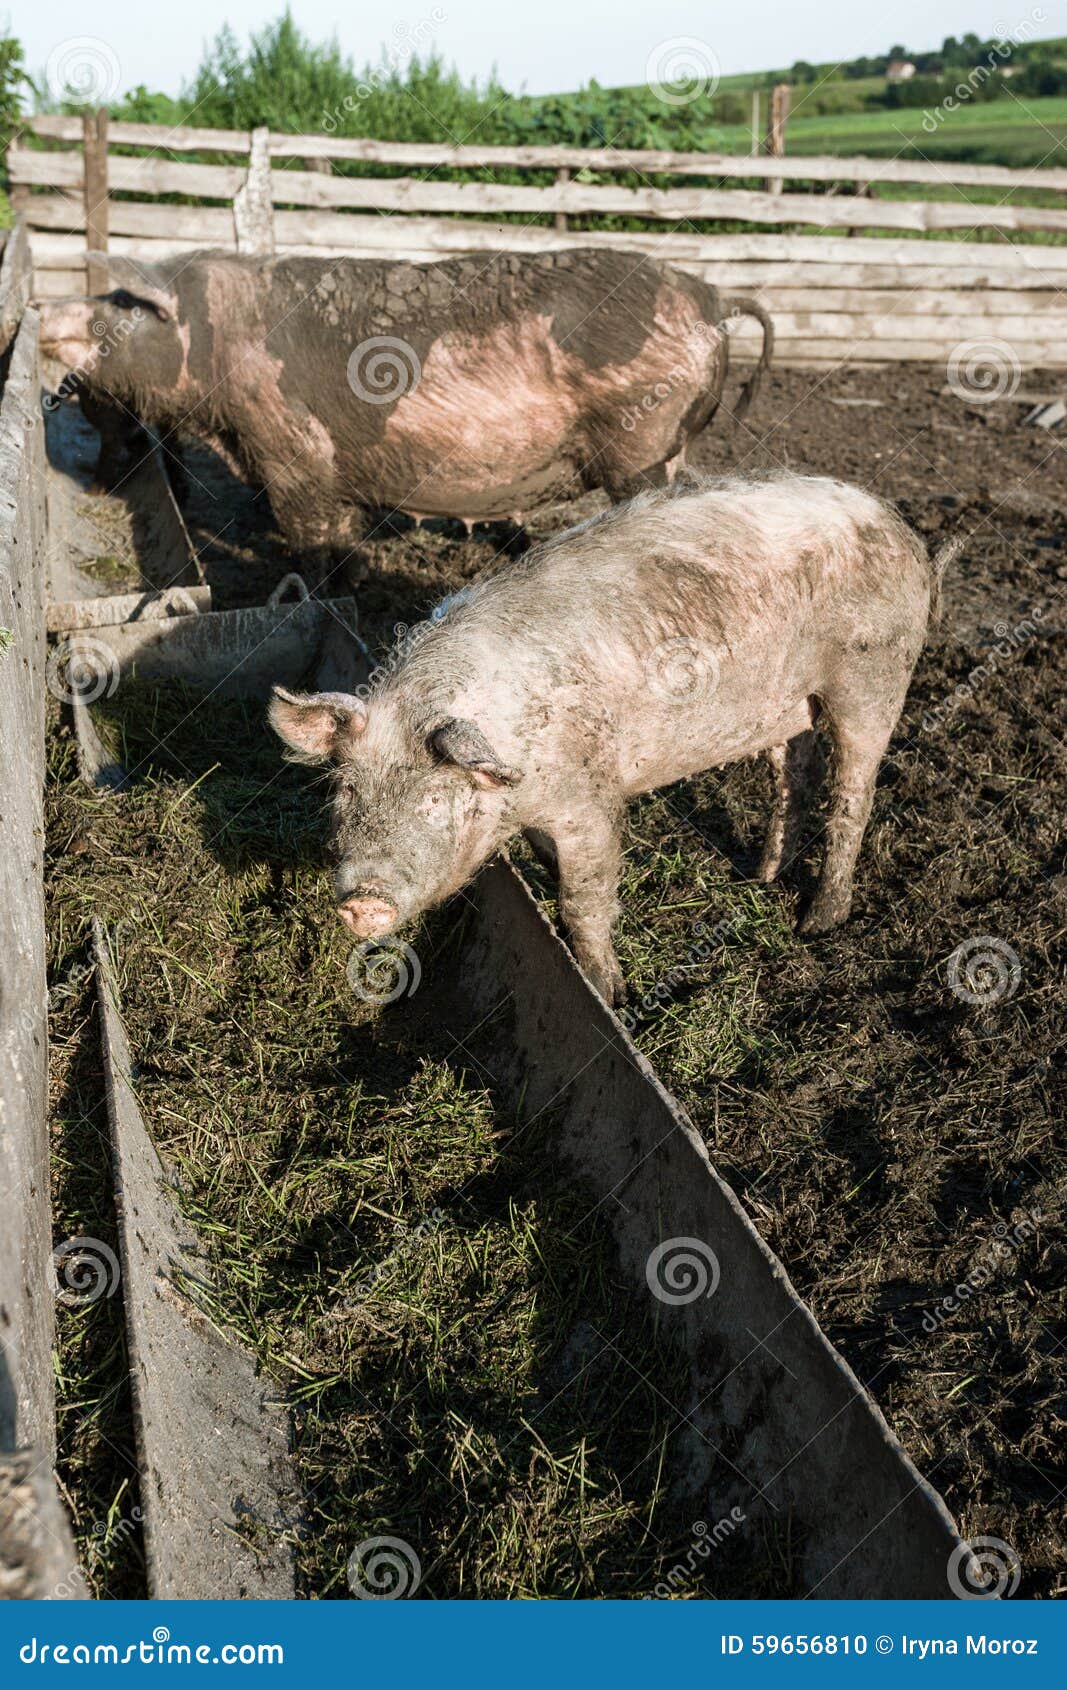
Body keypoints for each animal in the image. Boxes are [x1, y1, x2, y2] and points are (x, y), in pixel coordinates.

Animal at [38, 249, 772, 589]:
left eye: (124, 306)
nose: (42, 312)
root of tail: (712, 295)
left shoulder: (289, 450)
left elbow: (308, 537)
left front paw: (315, 593)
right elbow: (341, 535)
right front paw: (356, 579)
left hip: (641, 441)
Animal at [269, 472, 959, 1005]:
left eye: (434, 801)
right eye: (345, 795)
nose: (363, 902)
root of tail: (903, 531)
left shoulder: (589, 797)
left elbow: (586, 898)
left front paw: (610, 995)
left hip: (873, 678)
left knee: (854, 793)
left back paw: (817, 923)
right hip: (791, 706)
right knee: (795, 773)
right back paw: (760, 880)